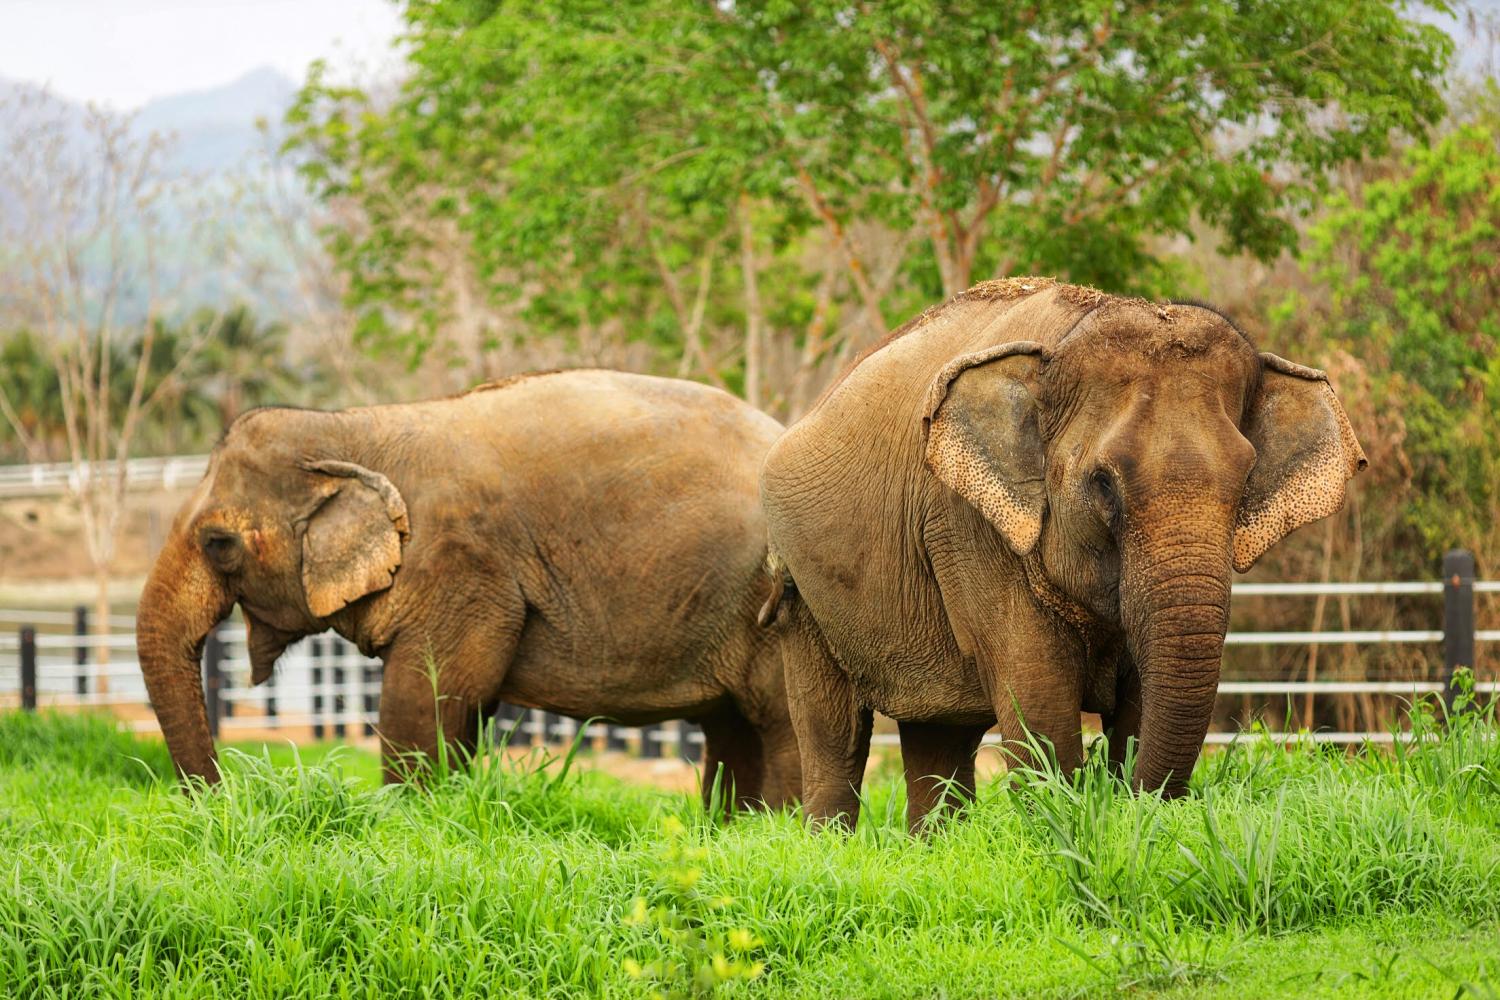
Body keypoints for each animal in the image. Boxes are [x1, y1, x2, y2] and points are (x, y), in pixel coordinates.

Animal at [137, 369, 801, 810]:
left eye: (219, 543)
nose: (227, 801)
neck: (352, 429)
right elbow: (461, 710)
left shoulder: (461, 567)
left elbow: (423, 701)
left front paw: (403, 823)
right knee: (734, 730)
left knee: (784, 726)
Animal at [759, 277, 1365, 831]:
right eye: (1103, 483)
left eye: (1244, 483)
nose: (1136, 806)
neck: (1069, 333)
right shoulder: (966, 525)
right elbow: (1039, 700)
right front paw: (1067, 821)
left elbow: (1140, 699)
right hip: (801, 589)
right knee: (835, 738)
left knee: (939, 738)